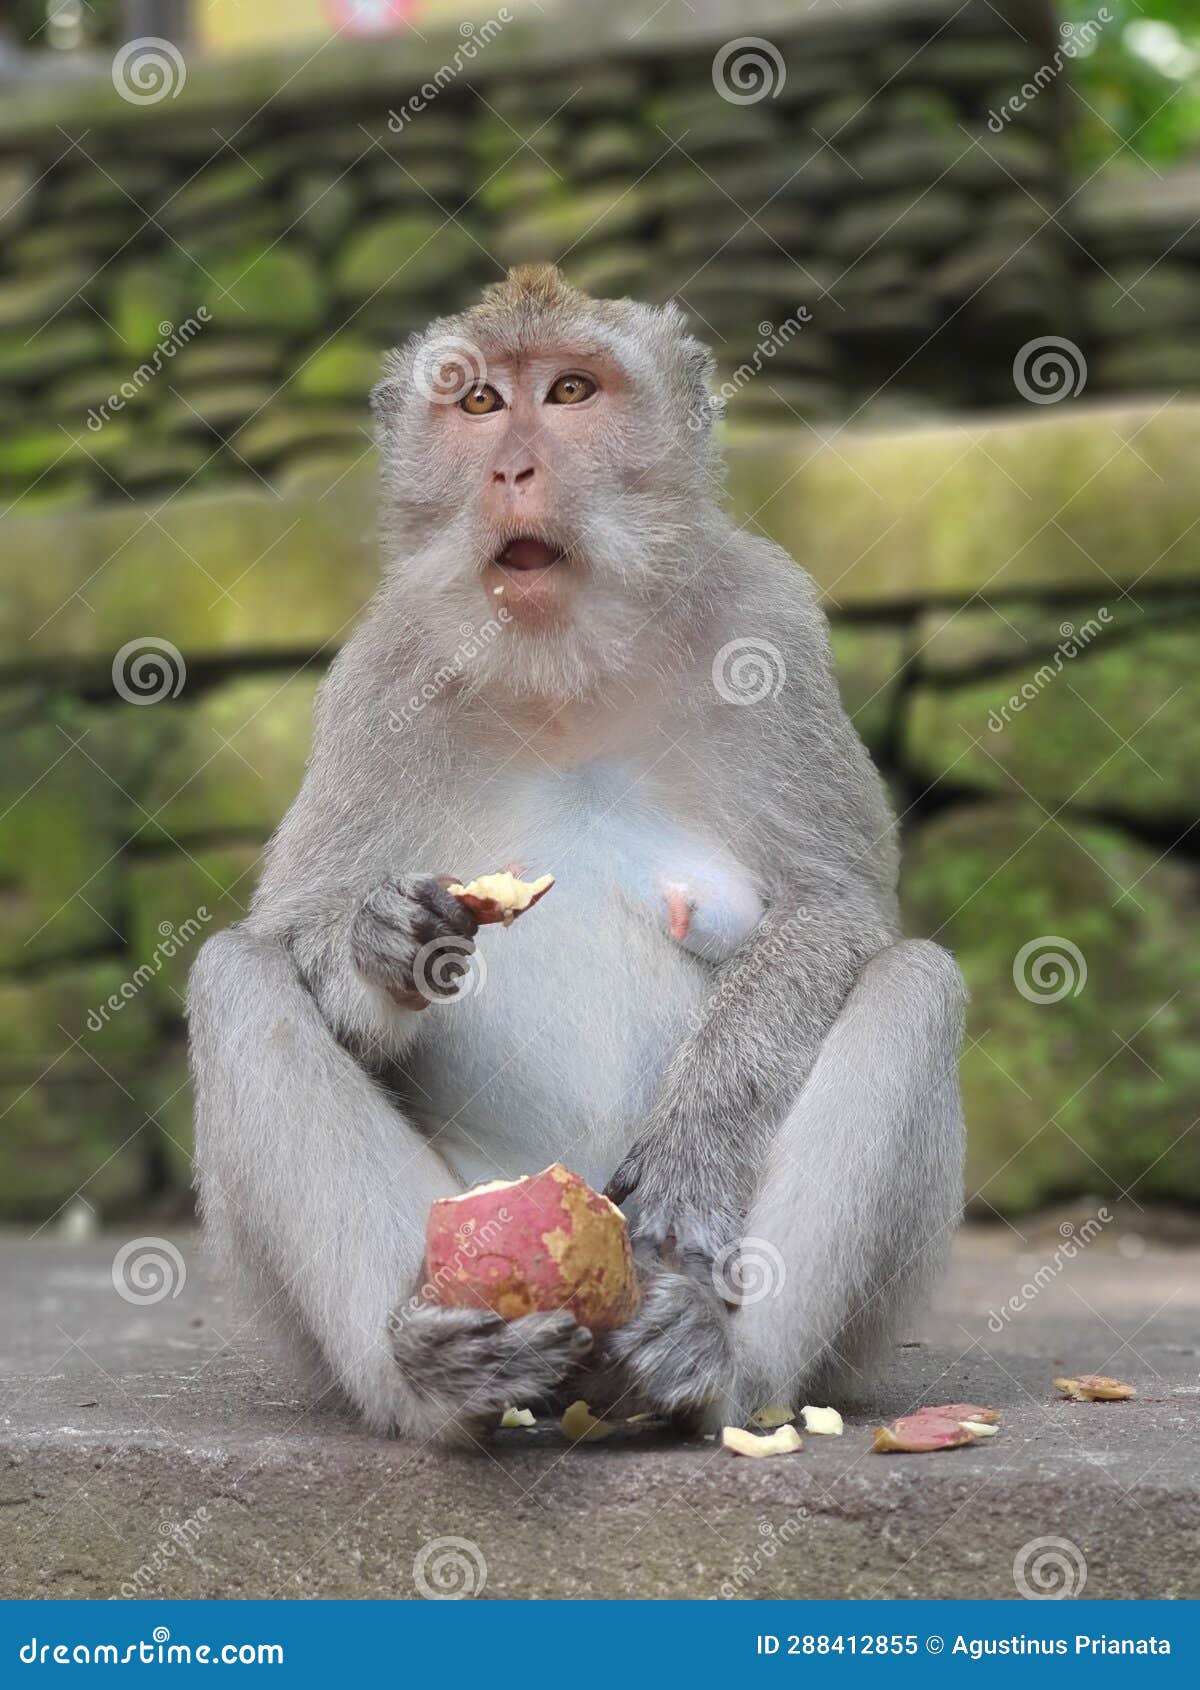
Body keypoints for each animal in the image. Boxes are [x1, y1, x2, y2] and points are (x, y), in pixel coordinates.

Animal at [187, 264, 966, 1443]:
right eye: (476, 402)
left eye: (567, 392)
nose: (513, 466)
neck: (566, 675)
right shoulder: (377, 674)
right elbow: (286, 936)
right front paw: (382, 943)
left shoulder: (770, 624)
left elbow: (836, 911)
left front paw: (697, 1148)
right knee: (235, 977)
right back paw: (434, 1378)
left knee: (916, 983)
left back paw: (709, 1367)